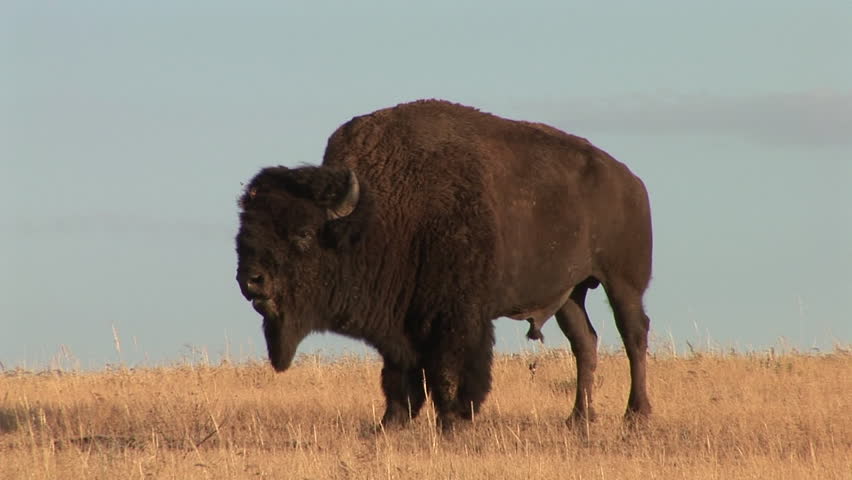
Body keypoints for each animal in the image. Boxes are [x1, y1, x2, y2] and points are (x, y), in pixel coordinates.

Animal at [235, 99, 653, 432]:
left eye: (304, 233)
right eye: (245, 231)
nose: (251, 280)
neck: (376, 214)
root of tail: (630, 180)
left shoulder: (457, 316)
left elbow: (451, 370)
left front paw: (453, 422)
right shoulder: (397, 322)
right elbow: (398, 375)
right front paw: (389, 424)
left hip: (622, 282)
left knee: (634, 335)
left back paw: (636, 414)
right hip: (569, 293)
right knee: (585, 343)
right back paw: (579, 418)